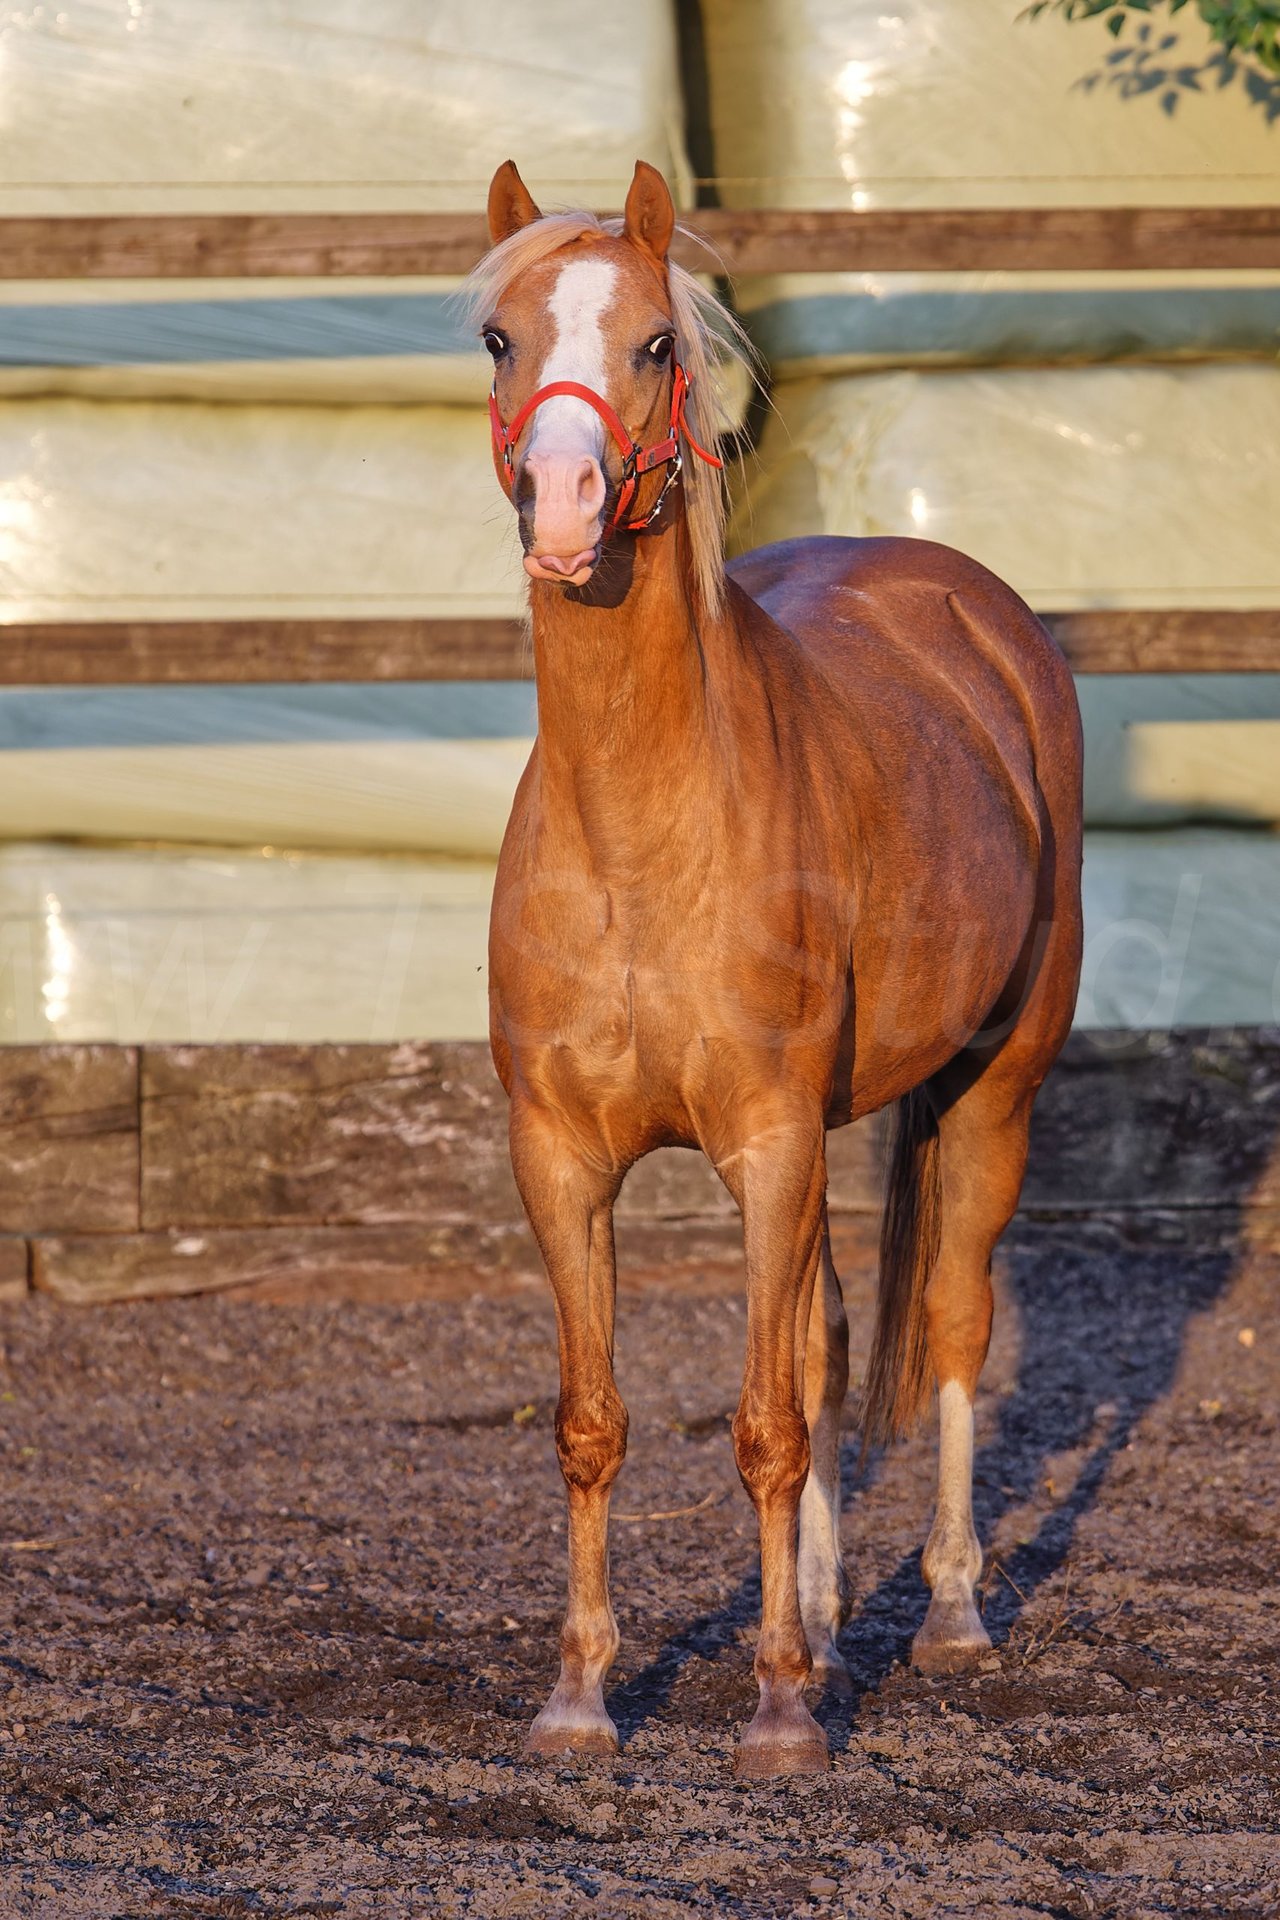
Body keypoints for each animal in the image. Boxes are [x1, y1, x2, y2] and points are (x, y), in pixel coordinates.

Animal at [468, 158, 1083, 1778]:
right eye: (498, 337)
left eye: (654, 342)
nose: (562, 505)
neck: (643, 834)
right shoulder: (562, 1158)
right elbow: (601, 1421)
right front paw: (580, 1697)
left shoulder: (769, 1135)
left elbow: (765, 1425)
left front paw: (784, 1711)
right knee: (816, 1349)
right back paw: (807, 1607)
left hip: (990, 1092)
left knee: (947, 1327)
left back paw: (946, 1615)